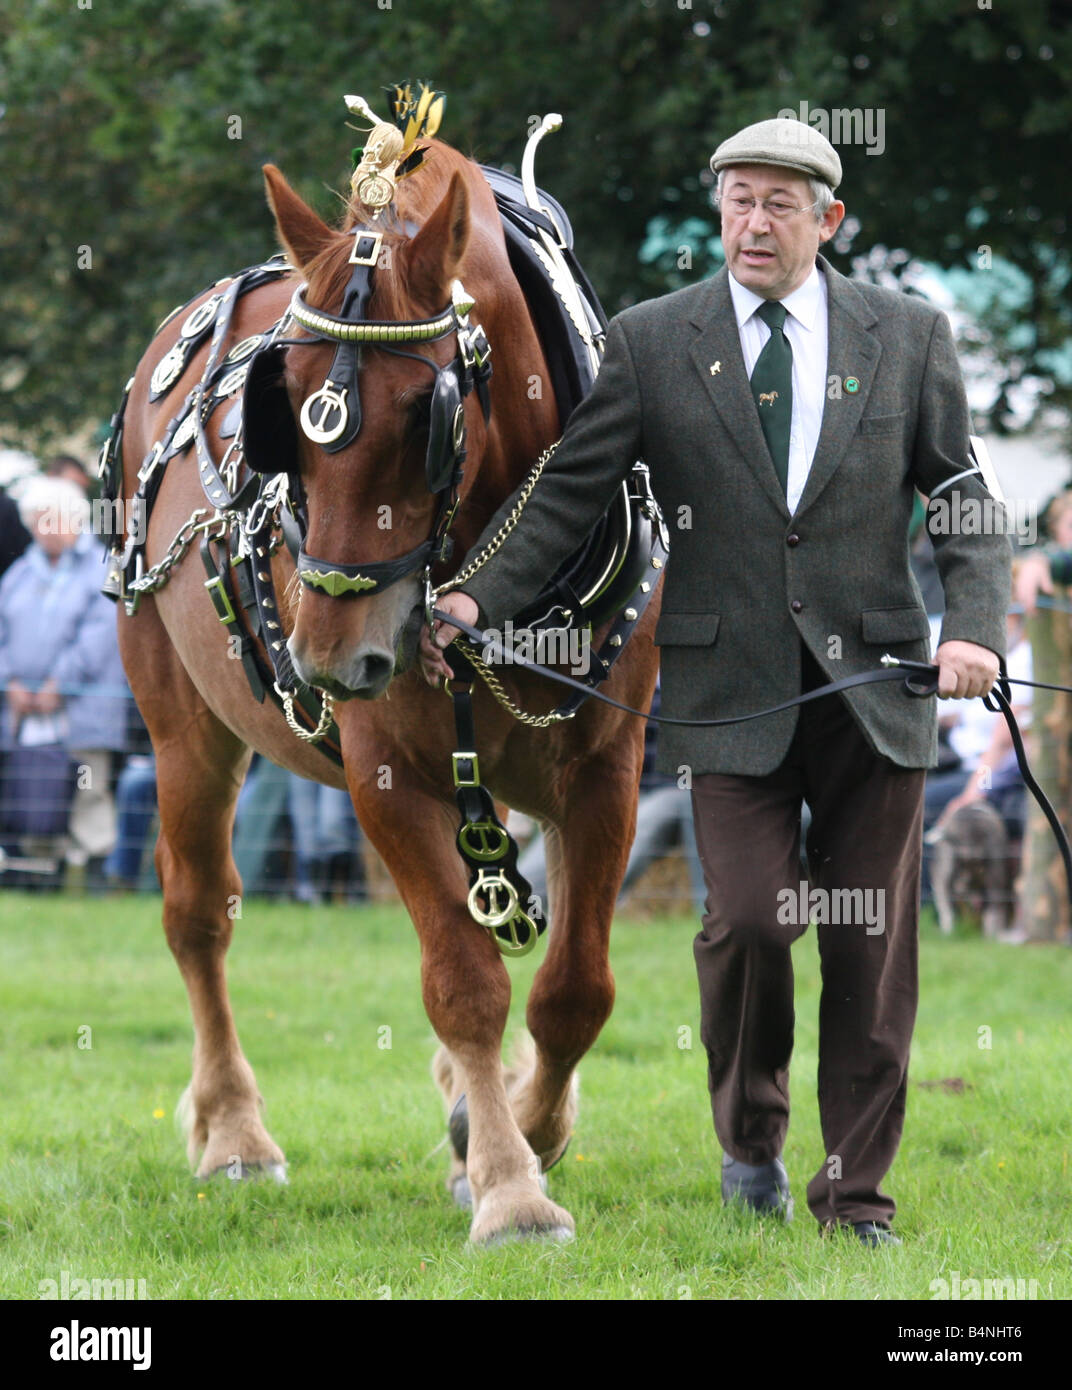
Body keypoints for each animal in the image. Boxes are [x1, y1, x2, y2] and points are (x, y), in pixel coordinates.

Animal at [111, 112, 660, 1244]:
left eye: (426, 415)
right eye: (281, 406)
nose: (327, 656)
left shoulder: (606, 767)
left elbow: (574, 990)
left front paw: (520, 1130)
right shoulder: (388, 769)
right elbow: (463, 980)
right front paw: (508, 1185)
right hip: (184, 728)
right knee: (198, 912)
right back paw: (233, 1131)